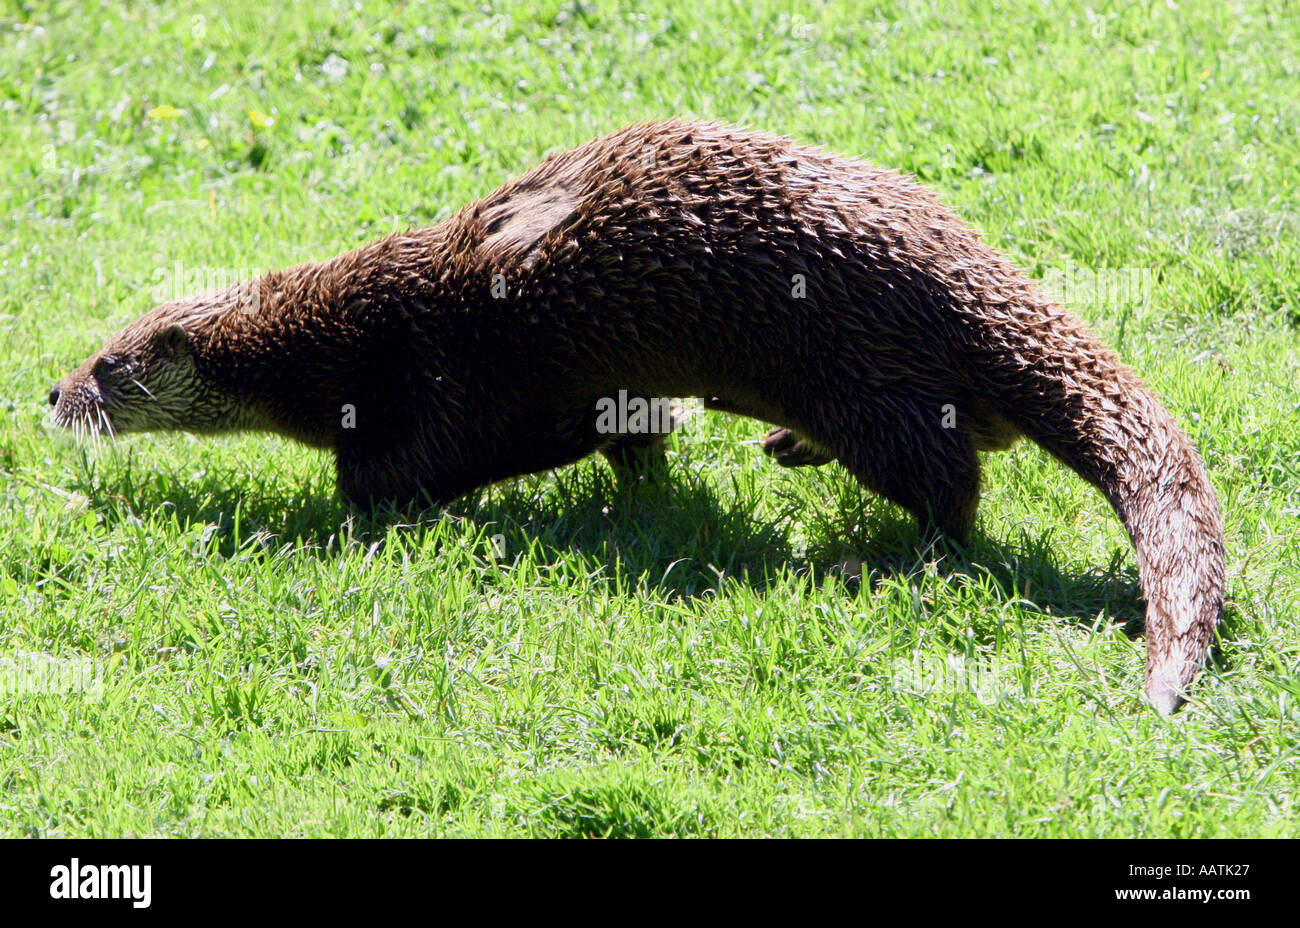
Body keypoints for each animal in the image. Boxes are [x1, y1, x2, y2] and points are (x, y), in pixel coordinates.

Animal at [50, 120, 1225, 713]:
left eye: (109, 363)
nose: (53, 394)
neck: (345, 334)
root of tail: (953, 261)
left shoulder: (454, 378)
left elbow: (403, 469)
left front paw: (361, 516)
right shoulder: (613, 384)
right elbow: (633, 440)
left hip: (859, 371)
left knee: (952, 486)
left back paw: (874, 556)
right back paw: (786, 448)